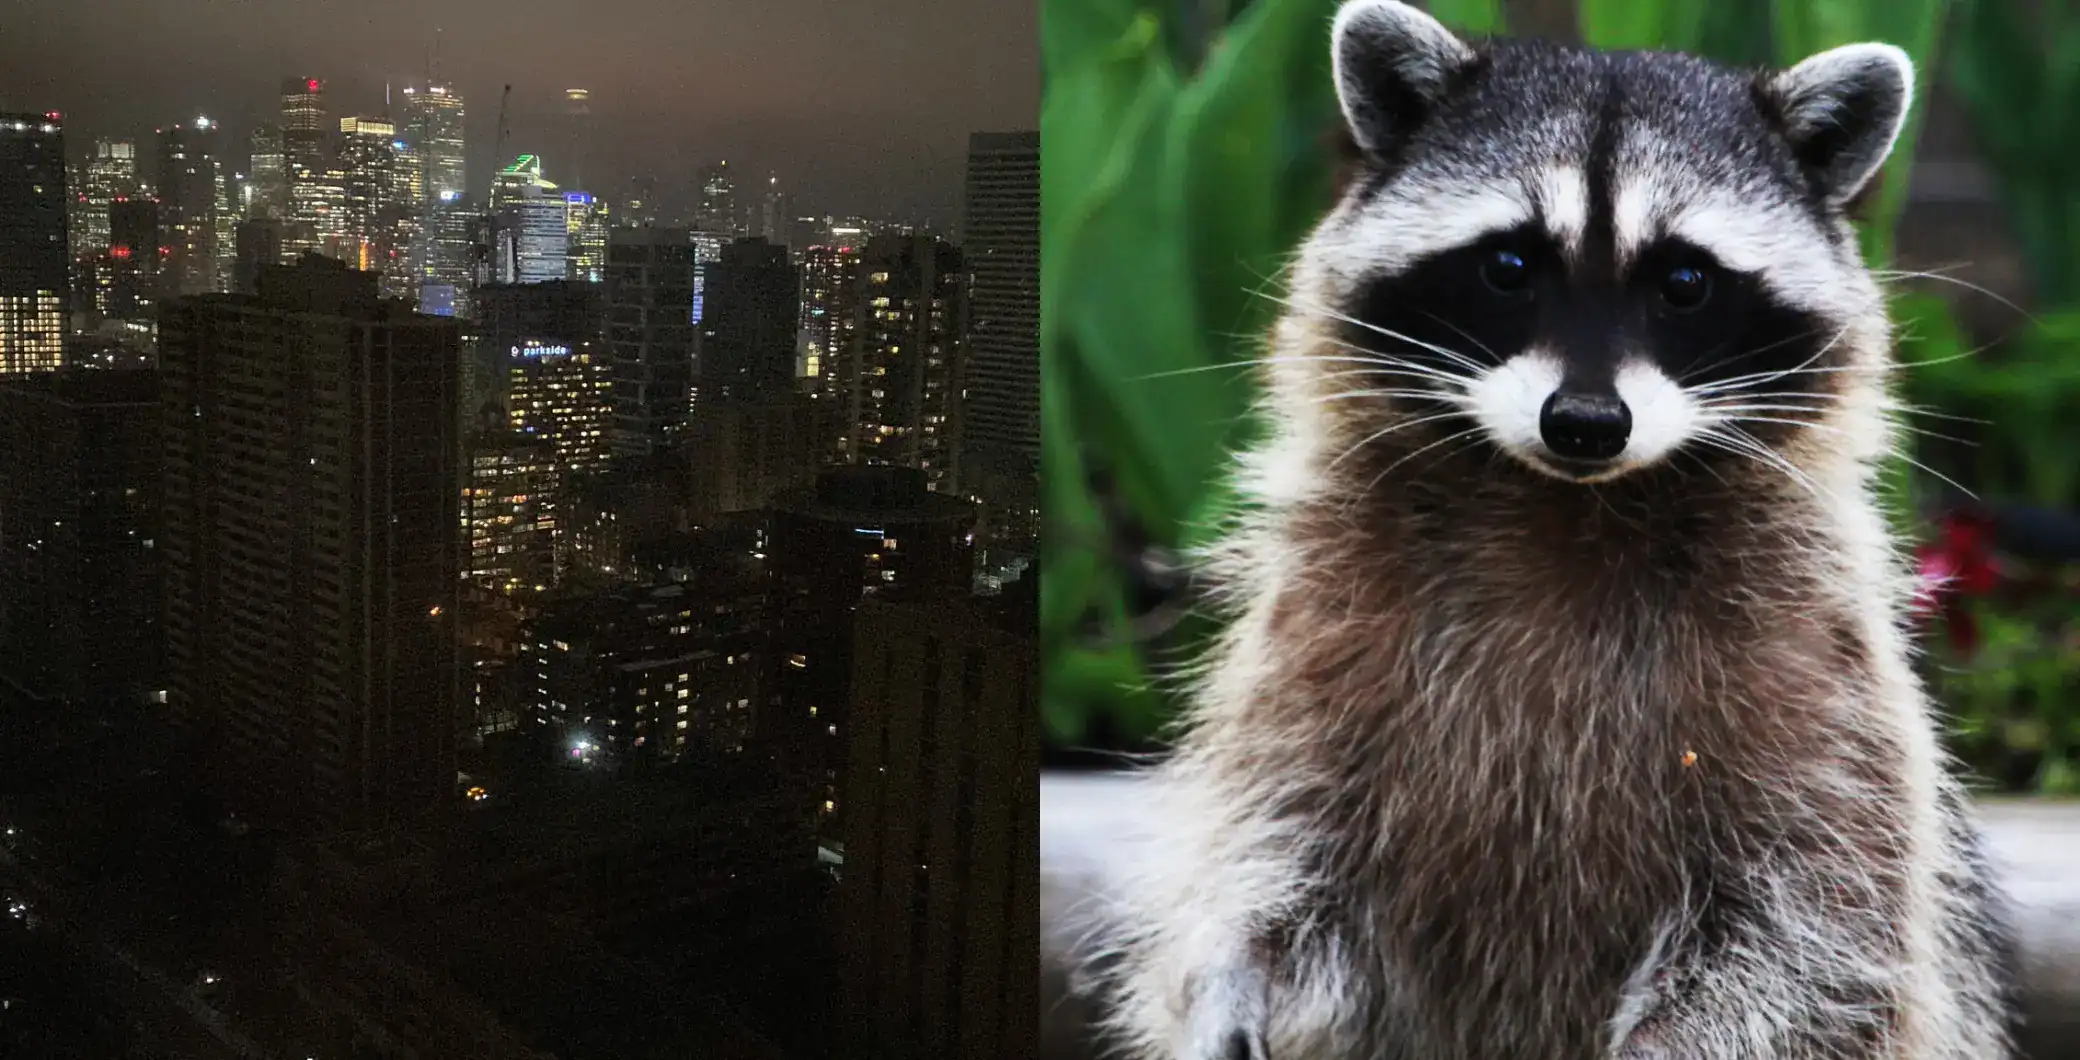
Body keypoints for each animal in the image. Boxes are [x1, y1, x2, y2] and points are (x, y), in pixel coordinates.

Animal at [1097, 2, 2017, 1058]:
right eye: (1509, 265)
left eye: (1685, 282)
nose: (1584, 423)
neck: (1567, 500)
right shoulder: (1318, 634)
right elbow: (1270, 843)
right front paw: (1229, 976)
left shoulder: (1820, 667)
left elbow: (1812, 922)